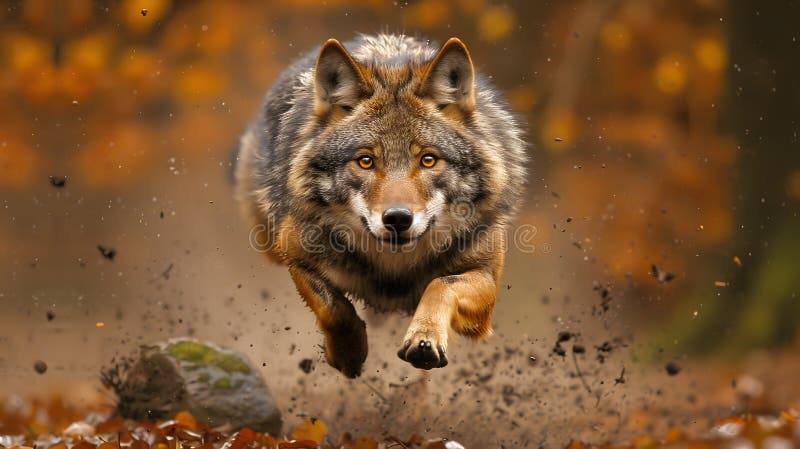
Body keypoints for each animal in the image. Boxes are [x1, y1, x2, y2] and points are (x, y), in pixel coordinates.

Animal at [235, 34, 526, 378]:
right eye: (365, 161)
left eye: (428, 160)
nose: (398, 219)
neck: (393, 269)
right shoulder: (294, 254)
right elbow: (333, 307)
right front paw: (348, 355)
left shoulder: (484, 284)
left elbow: (441, 285)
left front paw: (424, 338)